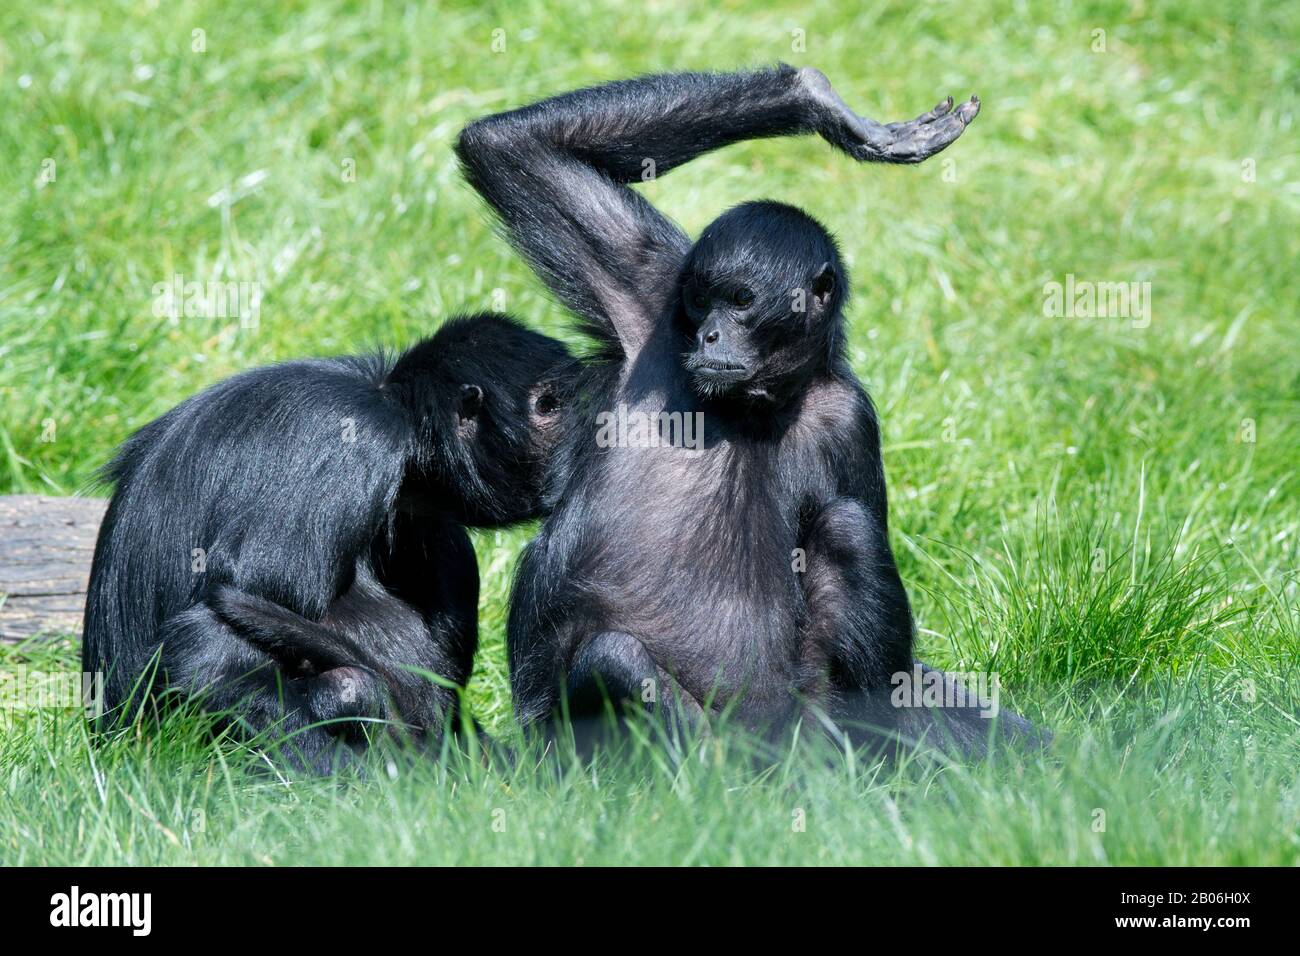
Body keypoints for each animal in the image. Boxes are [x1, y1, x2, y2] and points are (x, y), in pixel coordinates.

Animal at [456, 66, 1043, 756]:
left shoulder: (849, 415)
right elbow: (509, 148)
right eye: (703, 300)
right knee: (616, 659)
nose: (710, 336)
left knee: (846, 529)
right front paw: (832, 111)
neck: (752, 409)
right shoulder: (650, 293)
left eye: (740, 302)